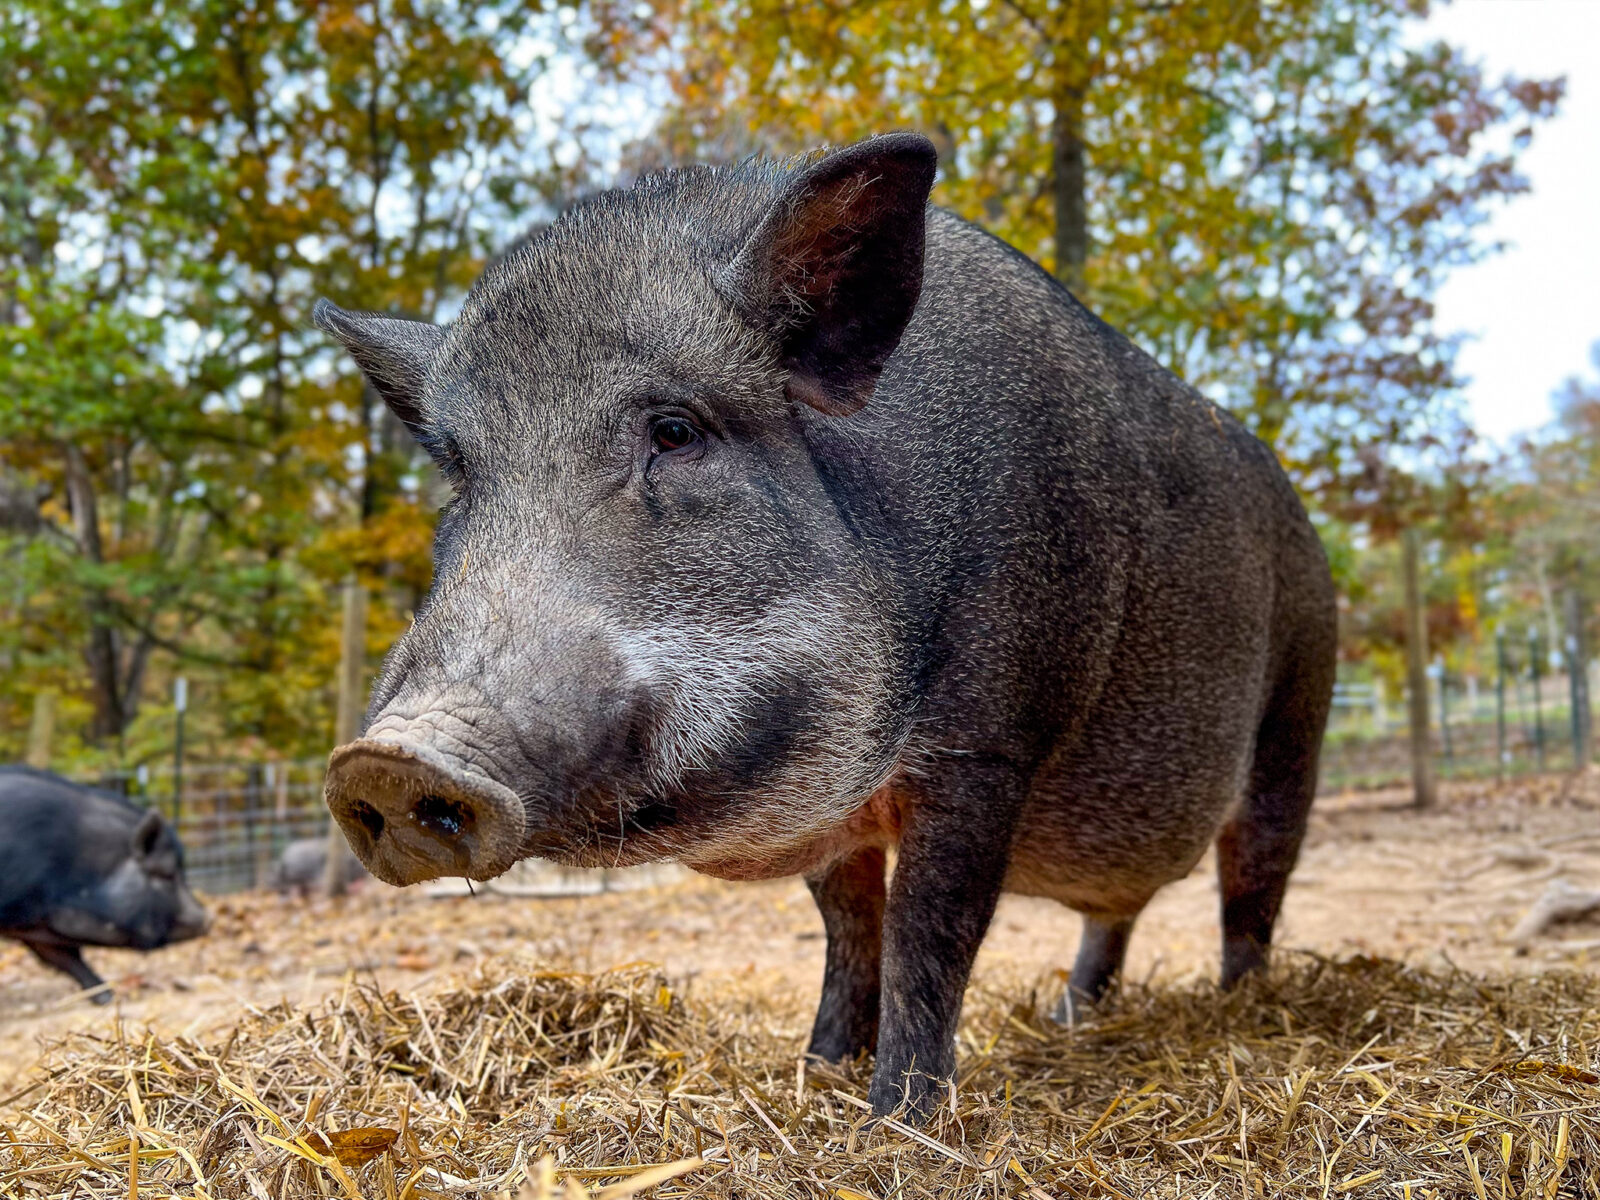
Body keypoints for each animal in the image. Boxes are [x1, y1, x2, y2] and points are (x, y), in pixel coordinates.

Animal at [313, 132, 1337, 1118]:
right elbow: (849, 932)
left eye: (676, 432)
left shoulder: (988, 747)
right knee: (1110, 917)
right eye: (459, 472)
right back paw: (1070, 1018)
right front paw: (817, 1071)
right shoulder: (840, 815)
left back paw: (1243, 1010)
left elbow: (930, 936)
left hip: (1299, 718)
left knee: (1253, 888)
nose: (388, 758)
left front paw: (897, 1123)